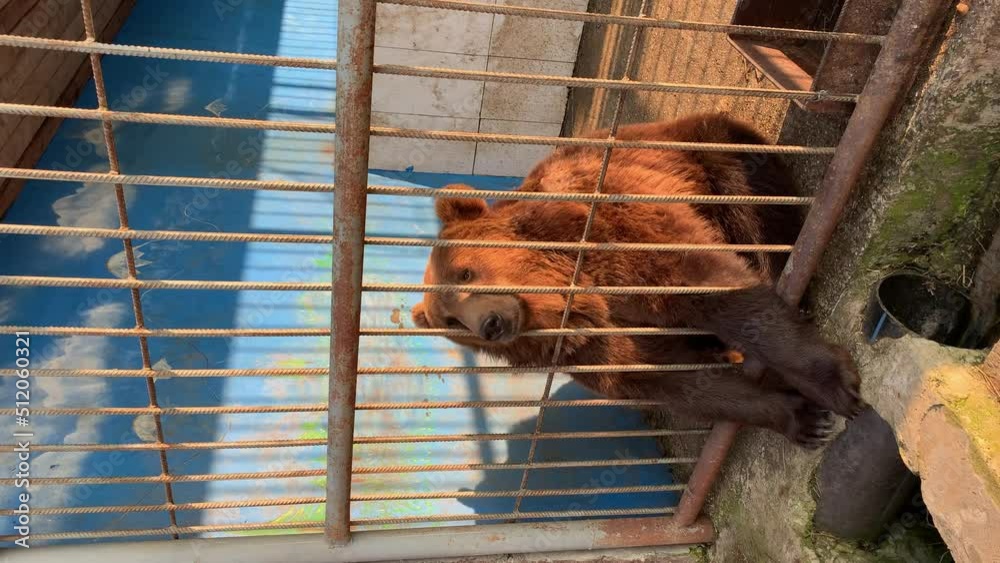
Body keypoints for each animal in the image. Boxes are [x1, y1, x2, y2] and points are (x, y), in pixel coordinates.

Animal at [411, 113, 864, 449]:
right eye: (450, 322)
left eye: (465, 271)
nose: (489, 325)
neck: (573, 289)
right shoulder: (591, 344)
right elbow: (674, 379)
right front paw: (803, 420)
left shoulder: (615, 232)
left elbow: (708, 284)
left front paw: (834, 385)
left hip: (707, 158)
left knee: (754, 208)